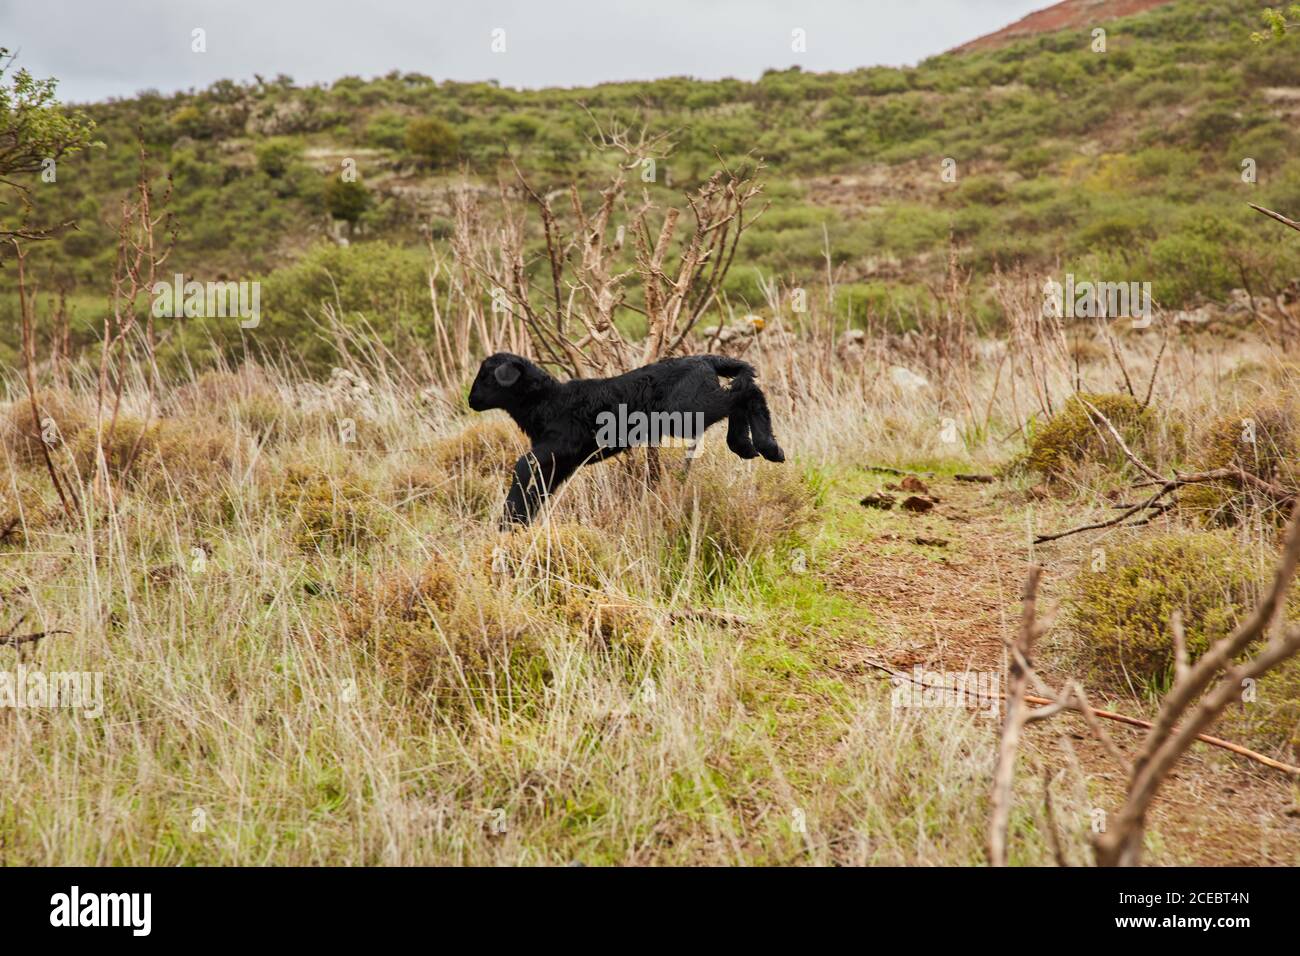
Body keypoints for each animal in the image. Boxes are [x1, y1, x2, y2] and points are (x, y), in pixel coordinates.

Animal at [467, 352, 785, 526]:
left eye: (486, 377)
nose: (470, 400)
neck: (546, 400)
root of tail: (706, 360)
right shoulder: (558, 463)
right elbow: (536, 489)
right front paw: (519, 523)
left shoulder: (556, 447)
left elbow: (523, 467)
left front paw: (507, 523)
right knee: (740, 393)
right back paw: (745, 445)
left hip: (688, 409)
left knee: (746, 392)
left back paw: (767, 446)